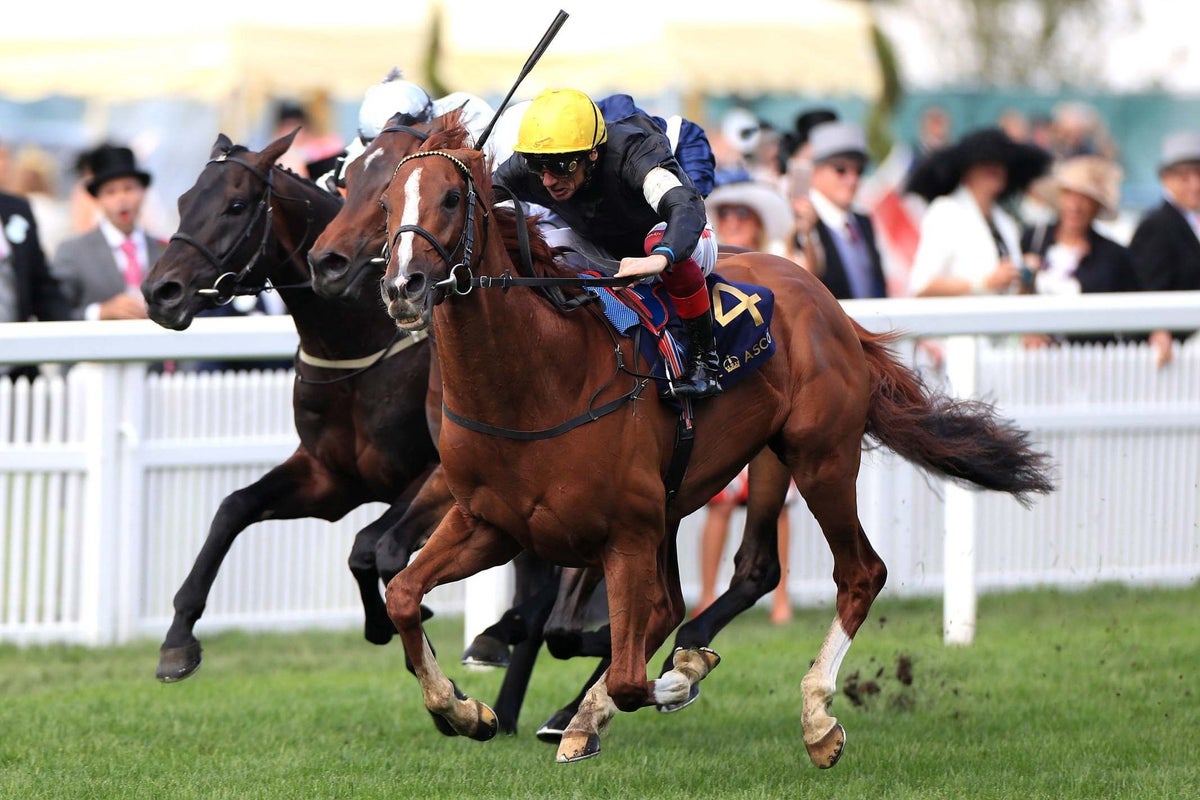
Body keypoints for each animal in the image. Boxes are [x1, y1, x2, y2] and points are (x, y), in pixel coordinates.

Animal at [143, 130, 447, 682]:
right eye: (182, 202)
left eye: (236, 205)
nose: (160, 291)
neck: (359, 343)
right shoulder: (330, 478)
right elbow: (232, 508)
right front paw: (177, 641)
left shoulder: (436, 472)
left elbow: (371, 547)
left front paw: (402, 631)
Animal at [375, 130, 1054, 765]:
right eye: (385, 201)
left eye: (452, 197)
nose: (403, 285)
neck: (538, 382)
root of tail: (823, 297)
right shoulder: (489, 523)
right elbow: (404, 595)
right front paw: (464, 711)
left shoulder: (624, 532)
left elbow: (630, 677)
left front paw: (680, 676)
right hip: (698, 491)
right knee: (689, 596)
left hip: (819, 458)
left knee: (859, 572)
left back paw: (814, 717)